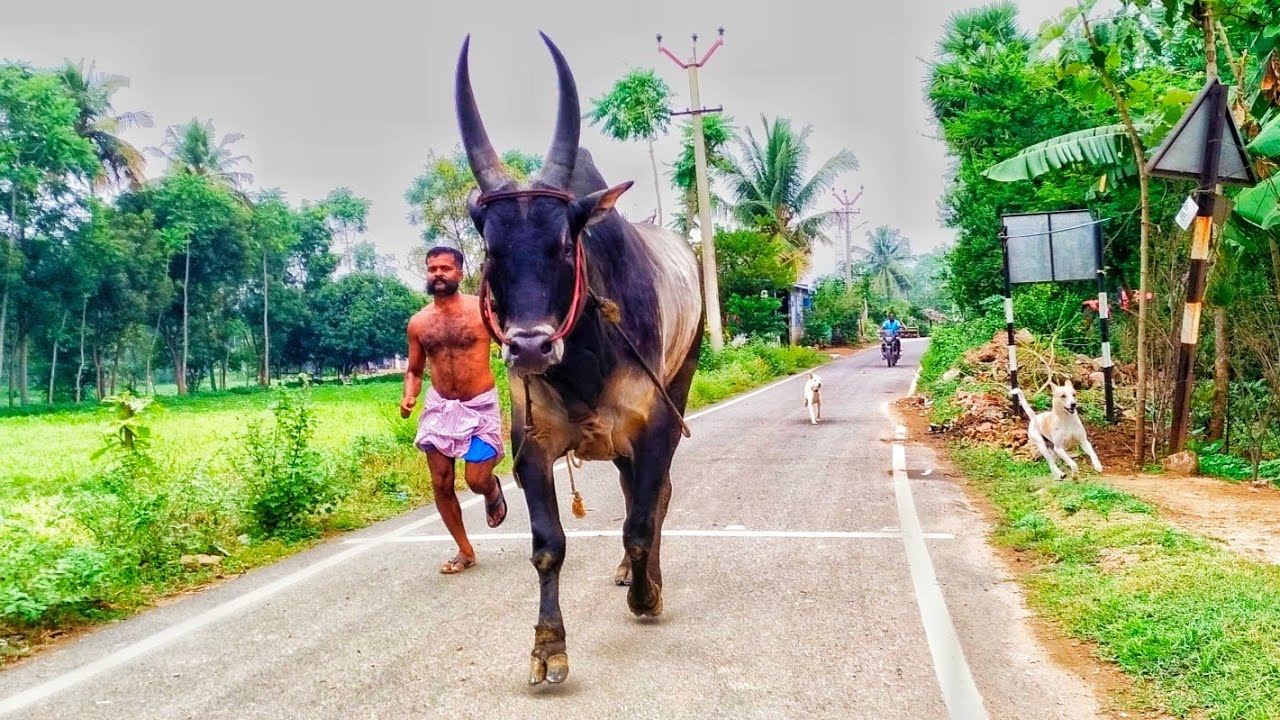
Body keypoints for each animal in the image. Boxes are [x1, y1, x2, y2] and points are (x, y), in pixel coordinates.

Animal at [455, 32, 704, 685]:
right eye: (491, 249)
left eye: (564, 244)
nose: (528, 347)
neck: (584, 360)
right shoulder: (531, 445)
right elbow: (548, 545)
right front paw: (548, 645)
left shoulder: (656, 425)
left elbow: (642, 521)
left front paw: (646, 594)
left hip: (680, 383)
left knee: (654, 499)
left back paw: (644, 580)